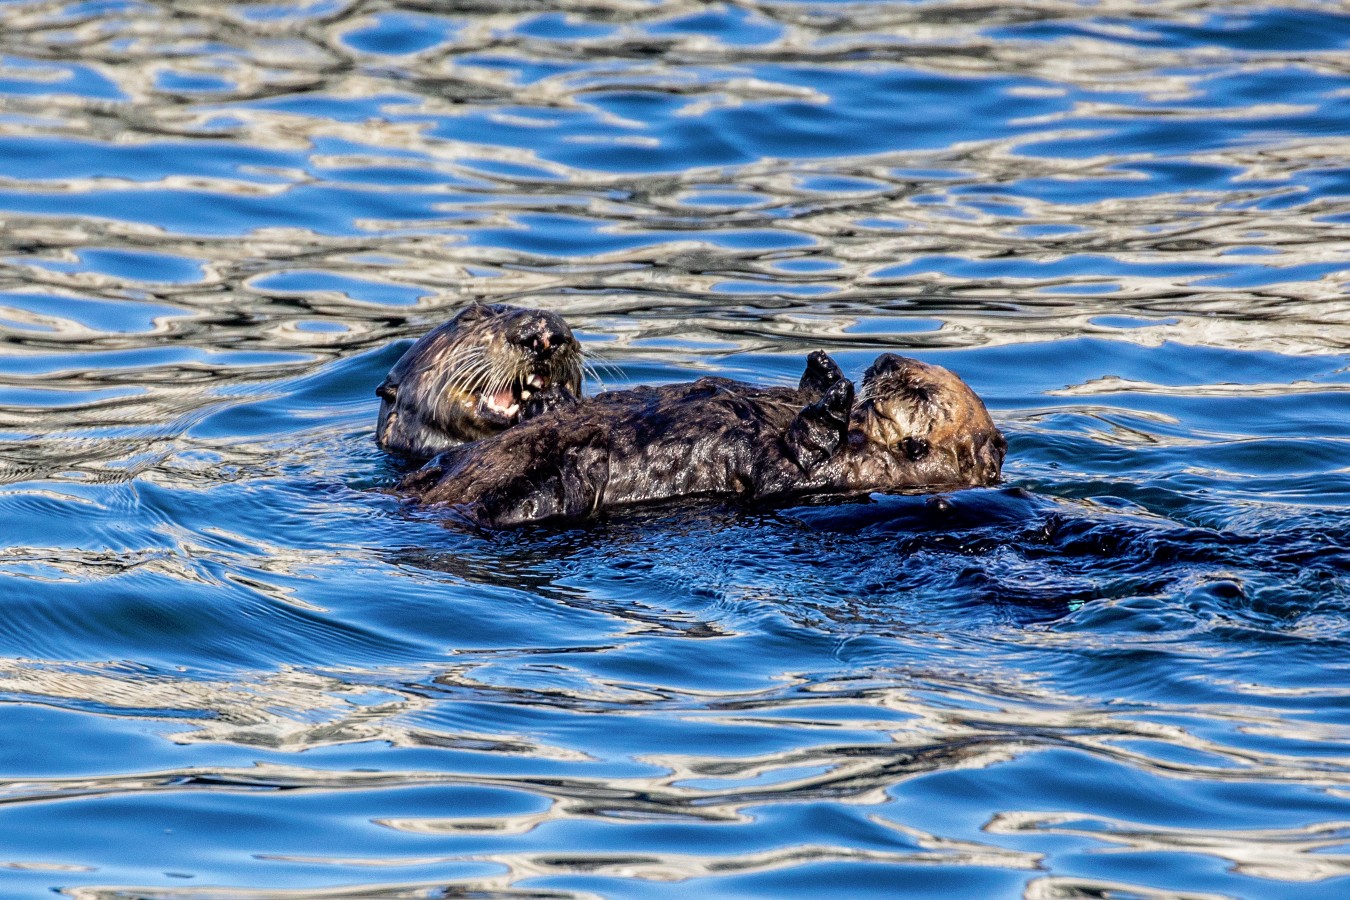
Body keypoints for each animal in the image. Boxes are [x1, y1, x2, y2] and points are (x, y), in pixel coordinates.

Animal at [398, 351, 1005, 527]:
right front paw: (824, 373)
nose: (882, 361)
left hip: (544, 491)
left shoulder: (842, 475)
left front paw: (833, 397)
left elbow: (788, 467)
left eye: (916, 387)